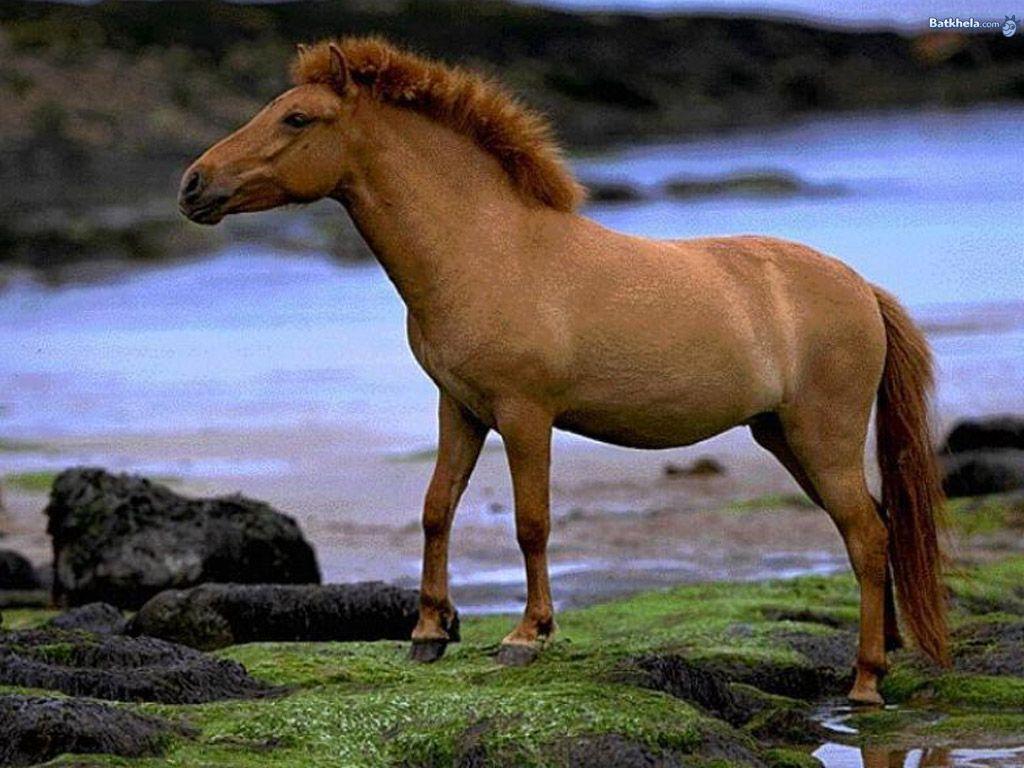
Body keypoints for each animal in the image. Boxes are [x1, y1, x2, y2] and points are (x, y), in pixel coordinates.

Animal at [178, 36, 949, 704]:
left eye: (297, 117)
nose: (192, 185)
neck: (485, 250)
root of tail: (861, 289)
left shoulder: (525, 415)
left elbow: (531, 522)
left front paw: (527, 637)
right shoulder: (459, 408)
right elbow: (435, 508)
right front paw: (429, 632)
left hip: (822, 437)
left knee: (867, 535)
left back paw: (866, 682)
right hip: (782, 437)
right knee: (873, 529)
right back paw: (887, 655)